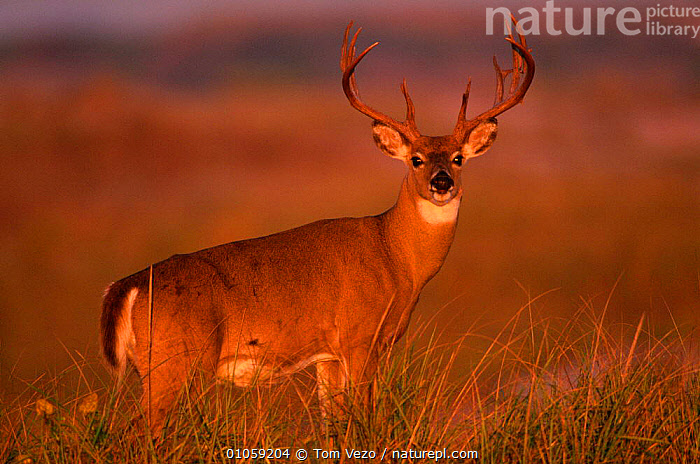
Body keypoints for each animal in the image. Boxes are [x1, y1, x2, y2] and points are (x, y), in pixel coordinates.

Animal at [100, 20, 534, 433]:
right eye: (416, 158)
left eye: (458, 158)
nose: (441, 182)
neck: (395, 257)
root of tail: (127, 286)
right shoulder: (361, 338)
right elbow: (363, 417)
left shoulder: (327, 356)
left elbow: (333, 423)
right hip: (178, 359)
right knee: (139, 431)